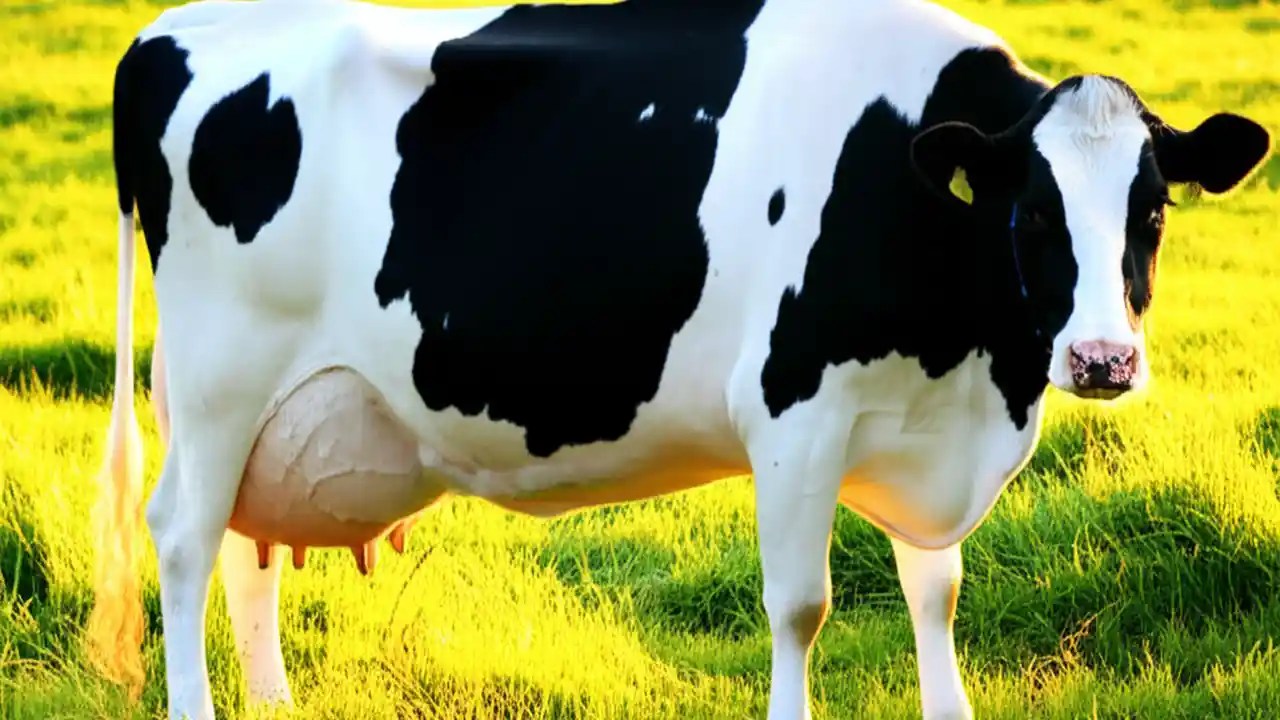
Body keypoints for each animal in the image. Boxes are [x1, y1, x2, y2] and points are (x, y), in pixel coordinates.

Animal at [86, 0, 1271, 718]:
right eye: (1029, 213)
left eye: (1153, 210)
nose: (1103, 361)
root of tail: (170, 28)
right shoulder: (795, 411)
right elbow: (801, 606)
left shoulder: (919, 417)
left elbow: (936, 591)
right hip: (219, 377)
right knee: (183, 540)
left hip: (270, 406)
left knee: (246, 549)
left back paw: (273, 703)